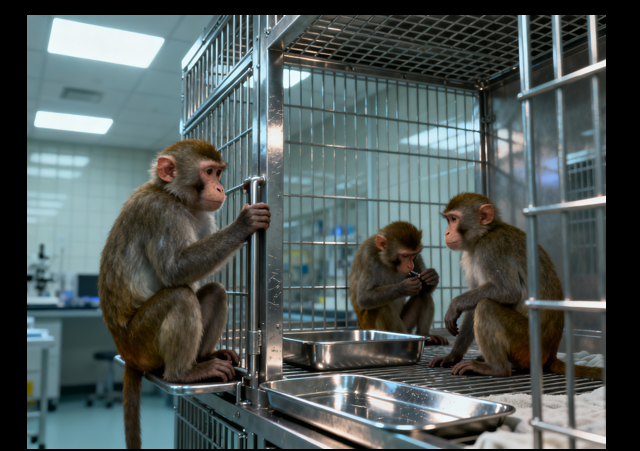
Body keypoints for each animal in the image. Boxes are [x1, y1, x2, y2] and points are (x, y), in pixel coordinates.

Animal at [98, 140, 271, 449]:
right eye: (209, 172)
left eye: (218, 172)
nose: (219, 188)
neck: (174, 195)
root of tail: (127, 355)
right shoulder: (162, 213)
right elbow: (175, 270)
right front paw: (244, 223)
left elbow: (202, 279)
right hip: (142, 343)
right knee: (179, 297)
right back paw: (184, 373)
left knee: (215, 292)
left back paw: (205, 357)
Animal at [427, 193, 602, 380]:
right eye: (448, 220)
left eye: (454, 219)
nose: (447, 232)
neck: (484, 234)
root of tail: (551, 354)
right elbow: (473, 307)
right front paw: (452, 356)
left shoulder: (490, 249)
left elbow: (509, 291)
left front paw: (455, 305)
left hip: (524, 343)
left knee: (486, 306)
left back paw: (496, 369)